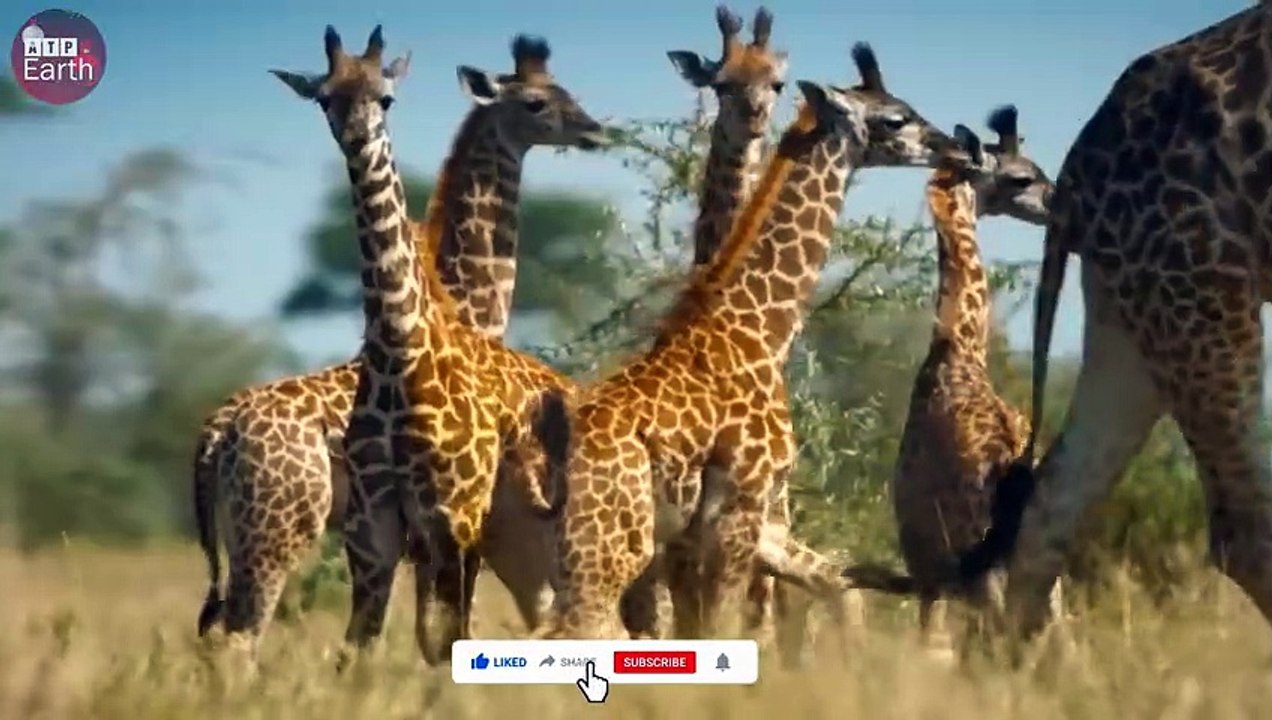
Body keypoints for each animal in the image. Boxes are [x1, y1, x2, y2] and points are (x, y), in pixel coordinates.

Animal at [194, 33, 609, 659]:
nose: (594, 130)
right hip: (277, 530)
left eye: (568, 89)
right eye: (536, 102)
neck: (467, 299)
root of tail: (219, 430)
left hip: (240, 536)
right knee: (243, 636)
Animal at [537, 60, 953, 640]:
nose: (957, 147)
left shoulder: (746, 528)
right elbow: (725, 628)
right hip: (610, 548)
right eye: (895, 119)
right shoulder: (737, 509)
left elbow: (833, 588)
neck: (758, 331)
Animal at [838, 107, 1055, 657]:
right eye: (1021, 177)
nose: (1058, 200)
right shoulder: (932, 571)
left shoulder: (927, 569)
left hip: (971, 568)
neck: (960, 351)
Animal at [956, 3, 1272, 650]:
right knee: (1242, 522)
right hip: (1197, 281)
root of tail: (1081, 167)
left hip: (1132, 307)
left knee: (1050, 499)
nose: (1043, 195)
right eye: (1019, 178)